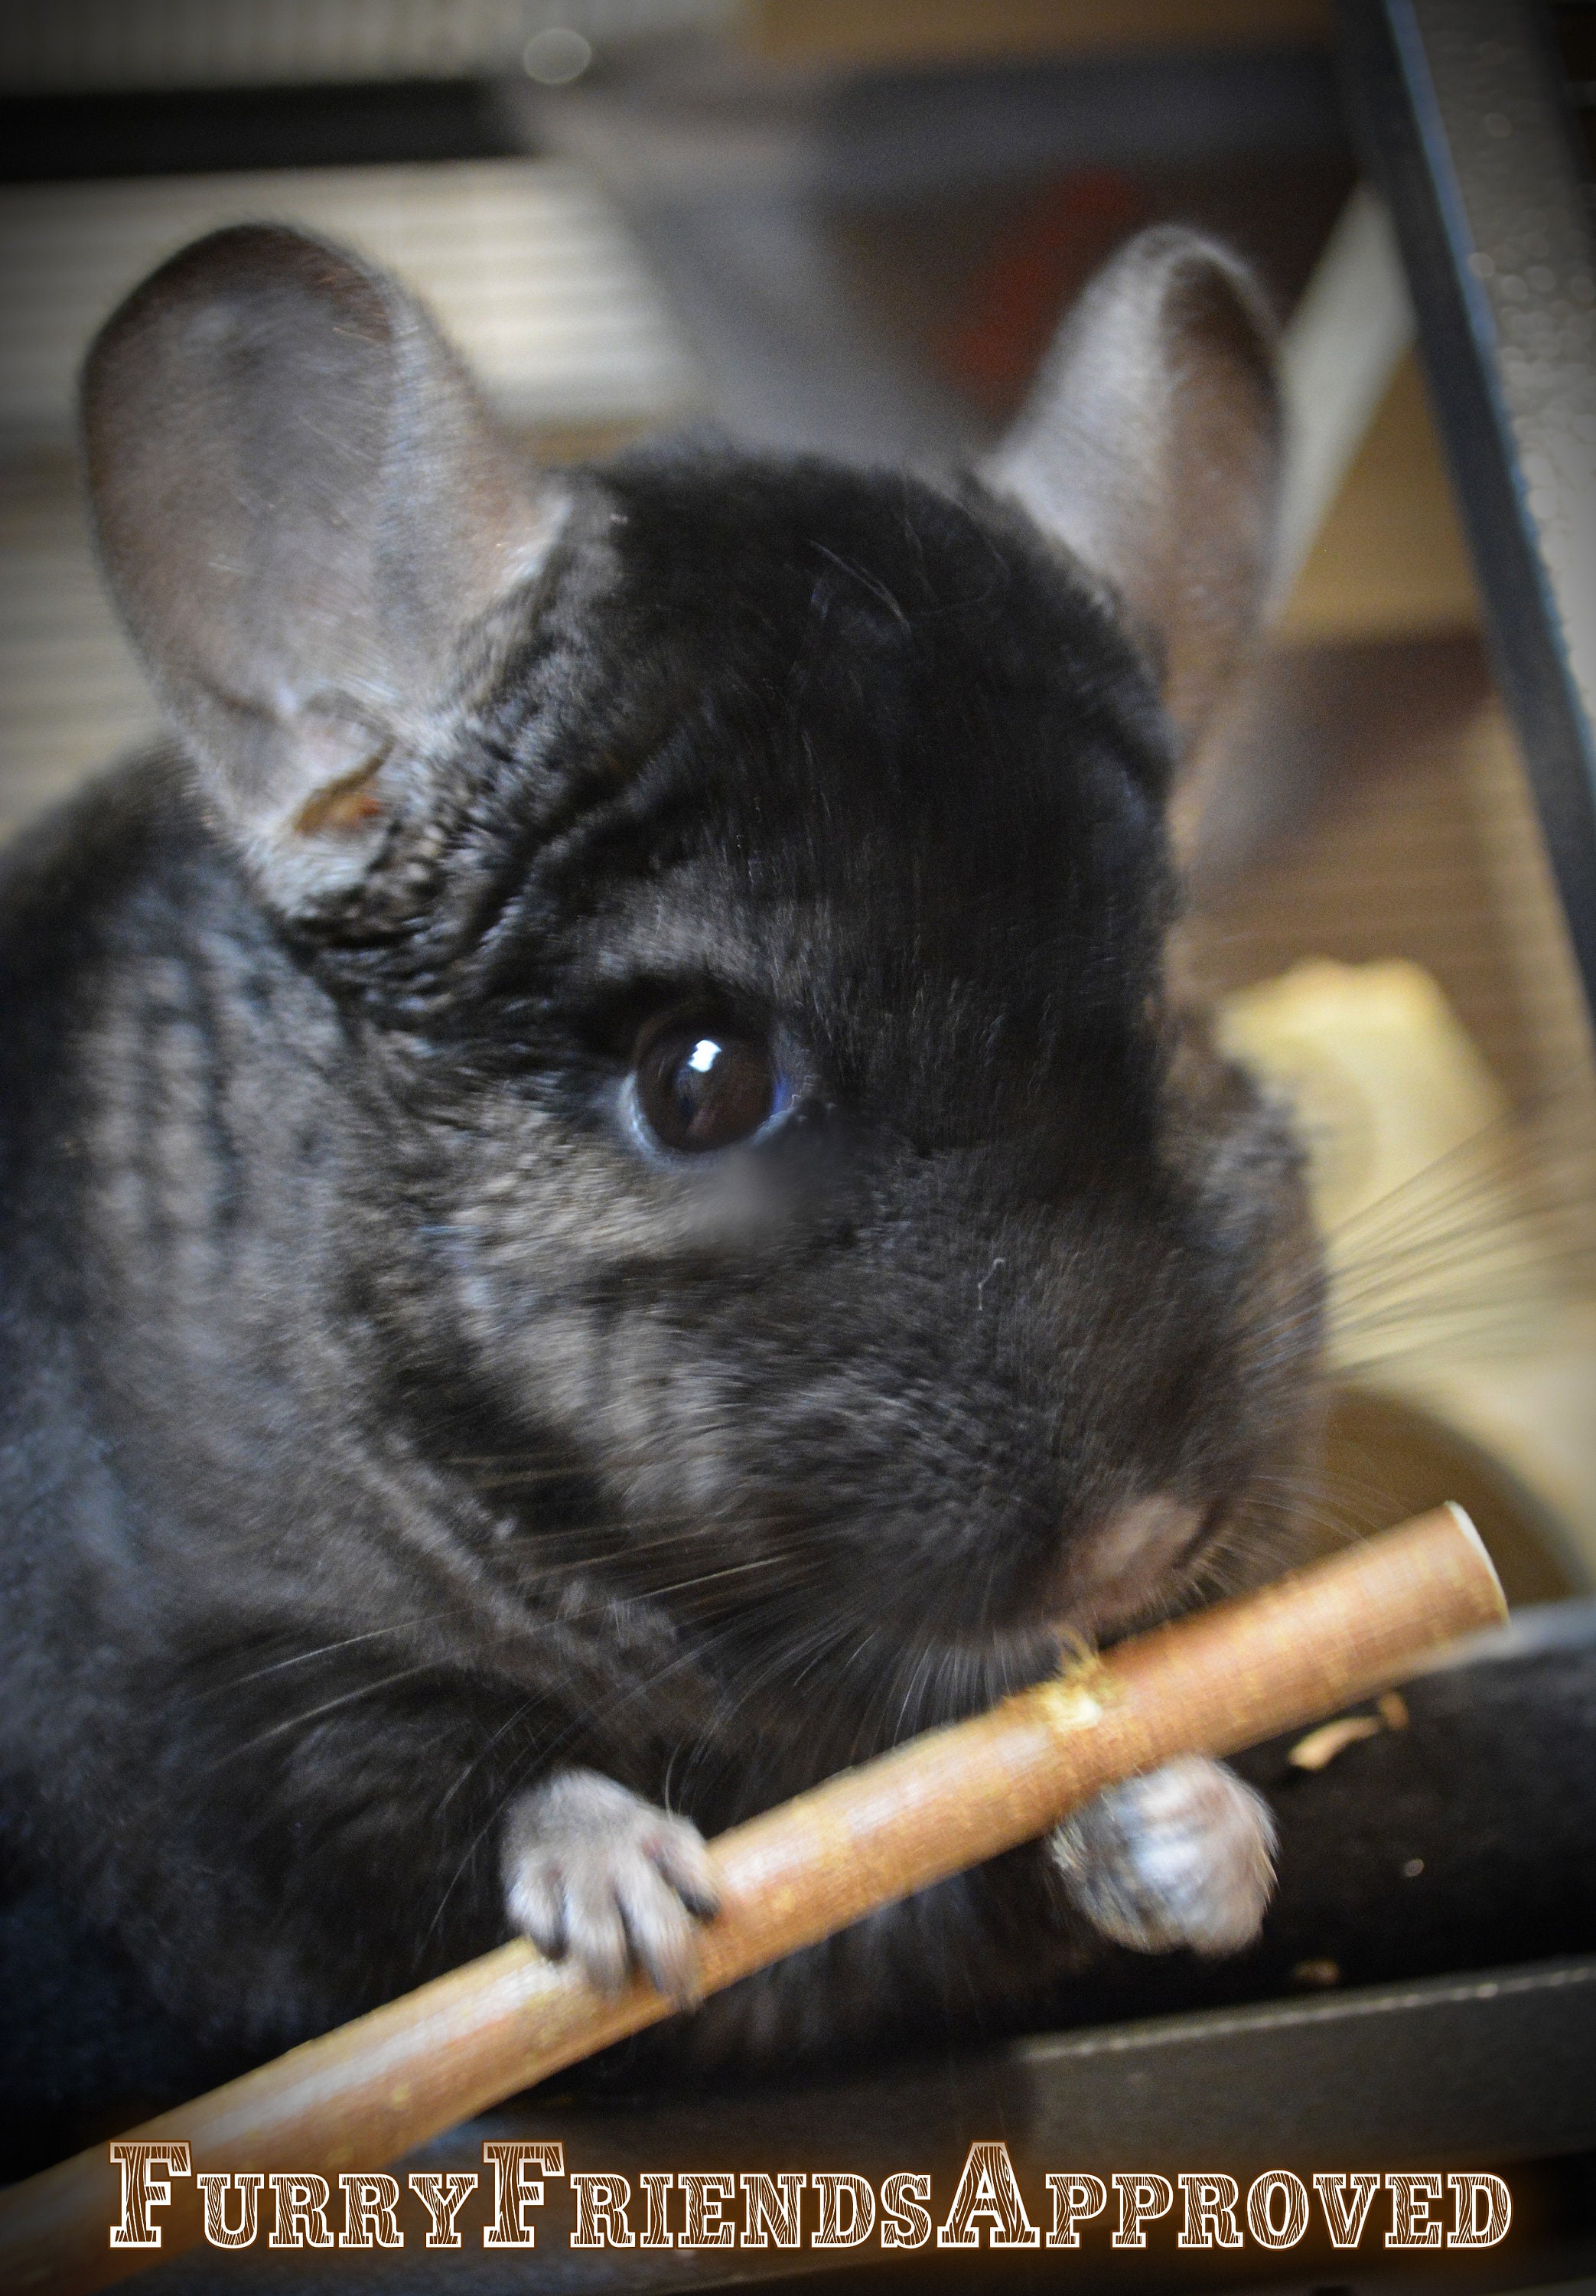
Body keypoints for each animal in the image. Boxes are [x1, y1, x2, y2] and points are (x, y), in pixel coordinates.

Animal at [0, 218, 1321, 2084]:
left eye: (1164, 1007)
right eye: (698, 1080)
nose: (1141, 1539)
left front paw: (1187, 1830)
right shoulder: (222, 1715)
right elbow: (425, 1818)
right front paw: (620, 1893)